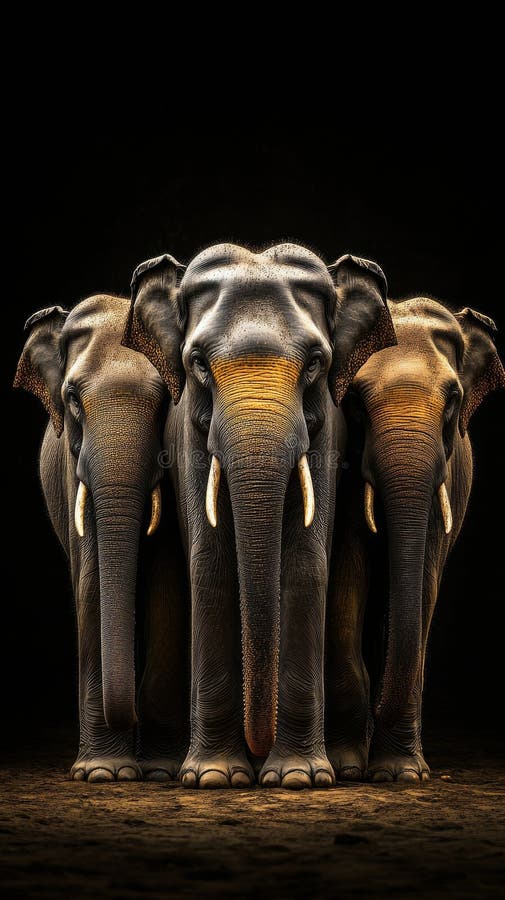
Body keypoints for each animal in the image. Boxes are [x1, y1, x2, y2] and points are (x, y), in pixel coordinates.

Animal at [14, 295, 188, 782]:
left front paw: (159, 772)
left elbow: (167, 580)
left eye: (164, 400)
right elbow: (91, 581)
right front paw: (104, 774)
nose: (130, 713)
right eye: (73, 399)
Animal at [123, 243, 396, 789]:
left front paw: (297, 779)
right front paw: (214, 779)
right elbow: (210, 562)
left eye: (316, 363)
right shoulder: (189, 436)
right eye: (198, 363)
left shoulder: (327, 433)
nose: (258, 747)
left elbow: (306, 562)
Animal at [325, 297, 505, 782]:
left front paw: (400, 775)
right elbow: (347, 571)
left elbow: (422, 580)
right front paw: (349, 769)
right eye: (355, 403)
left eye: (454, 402)